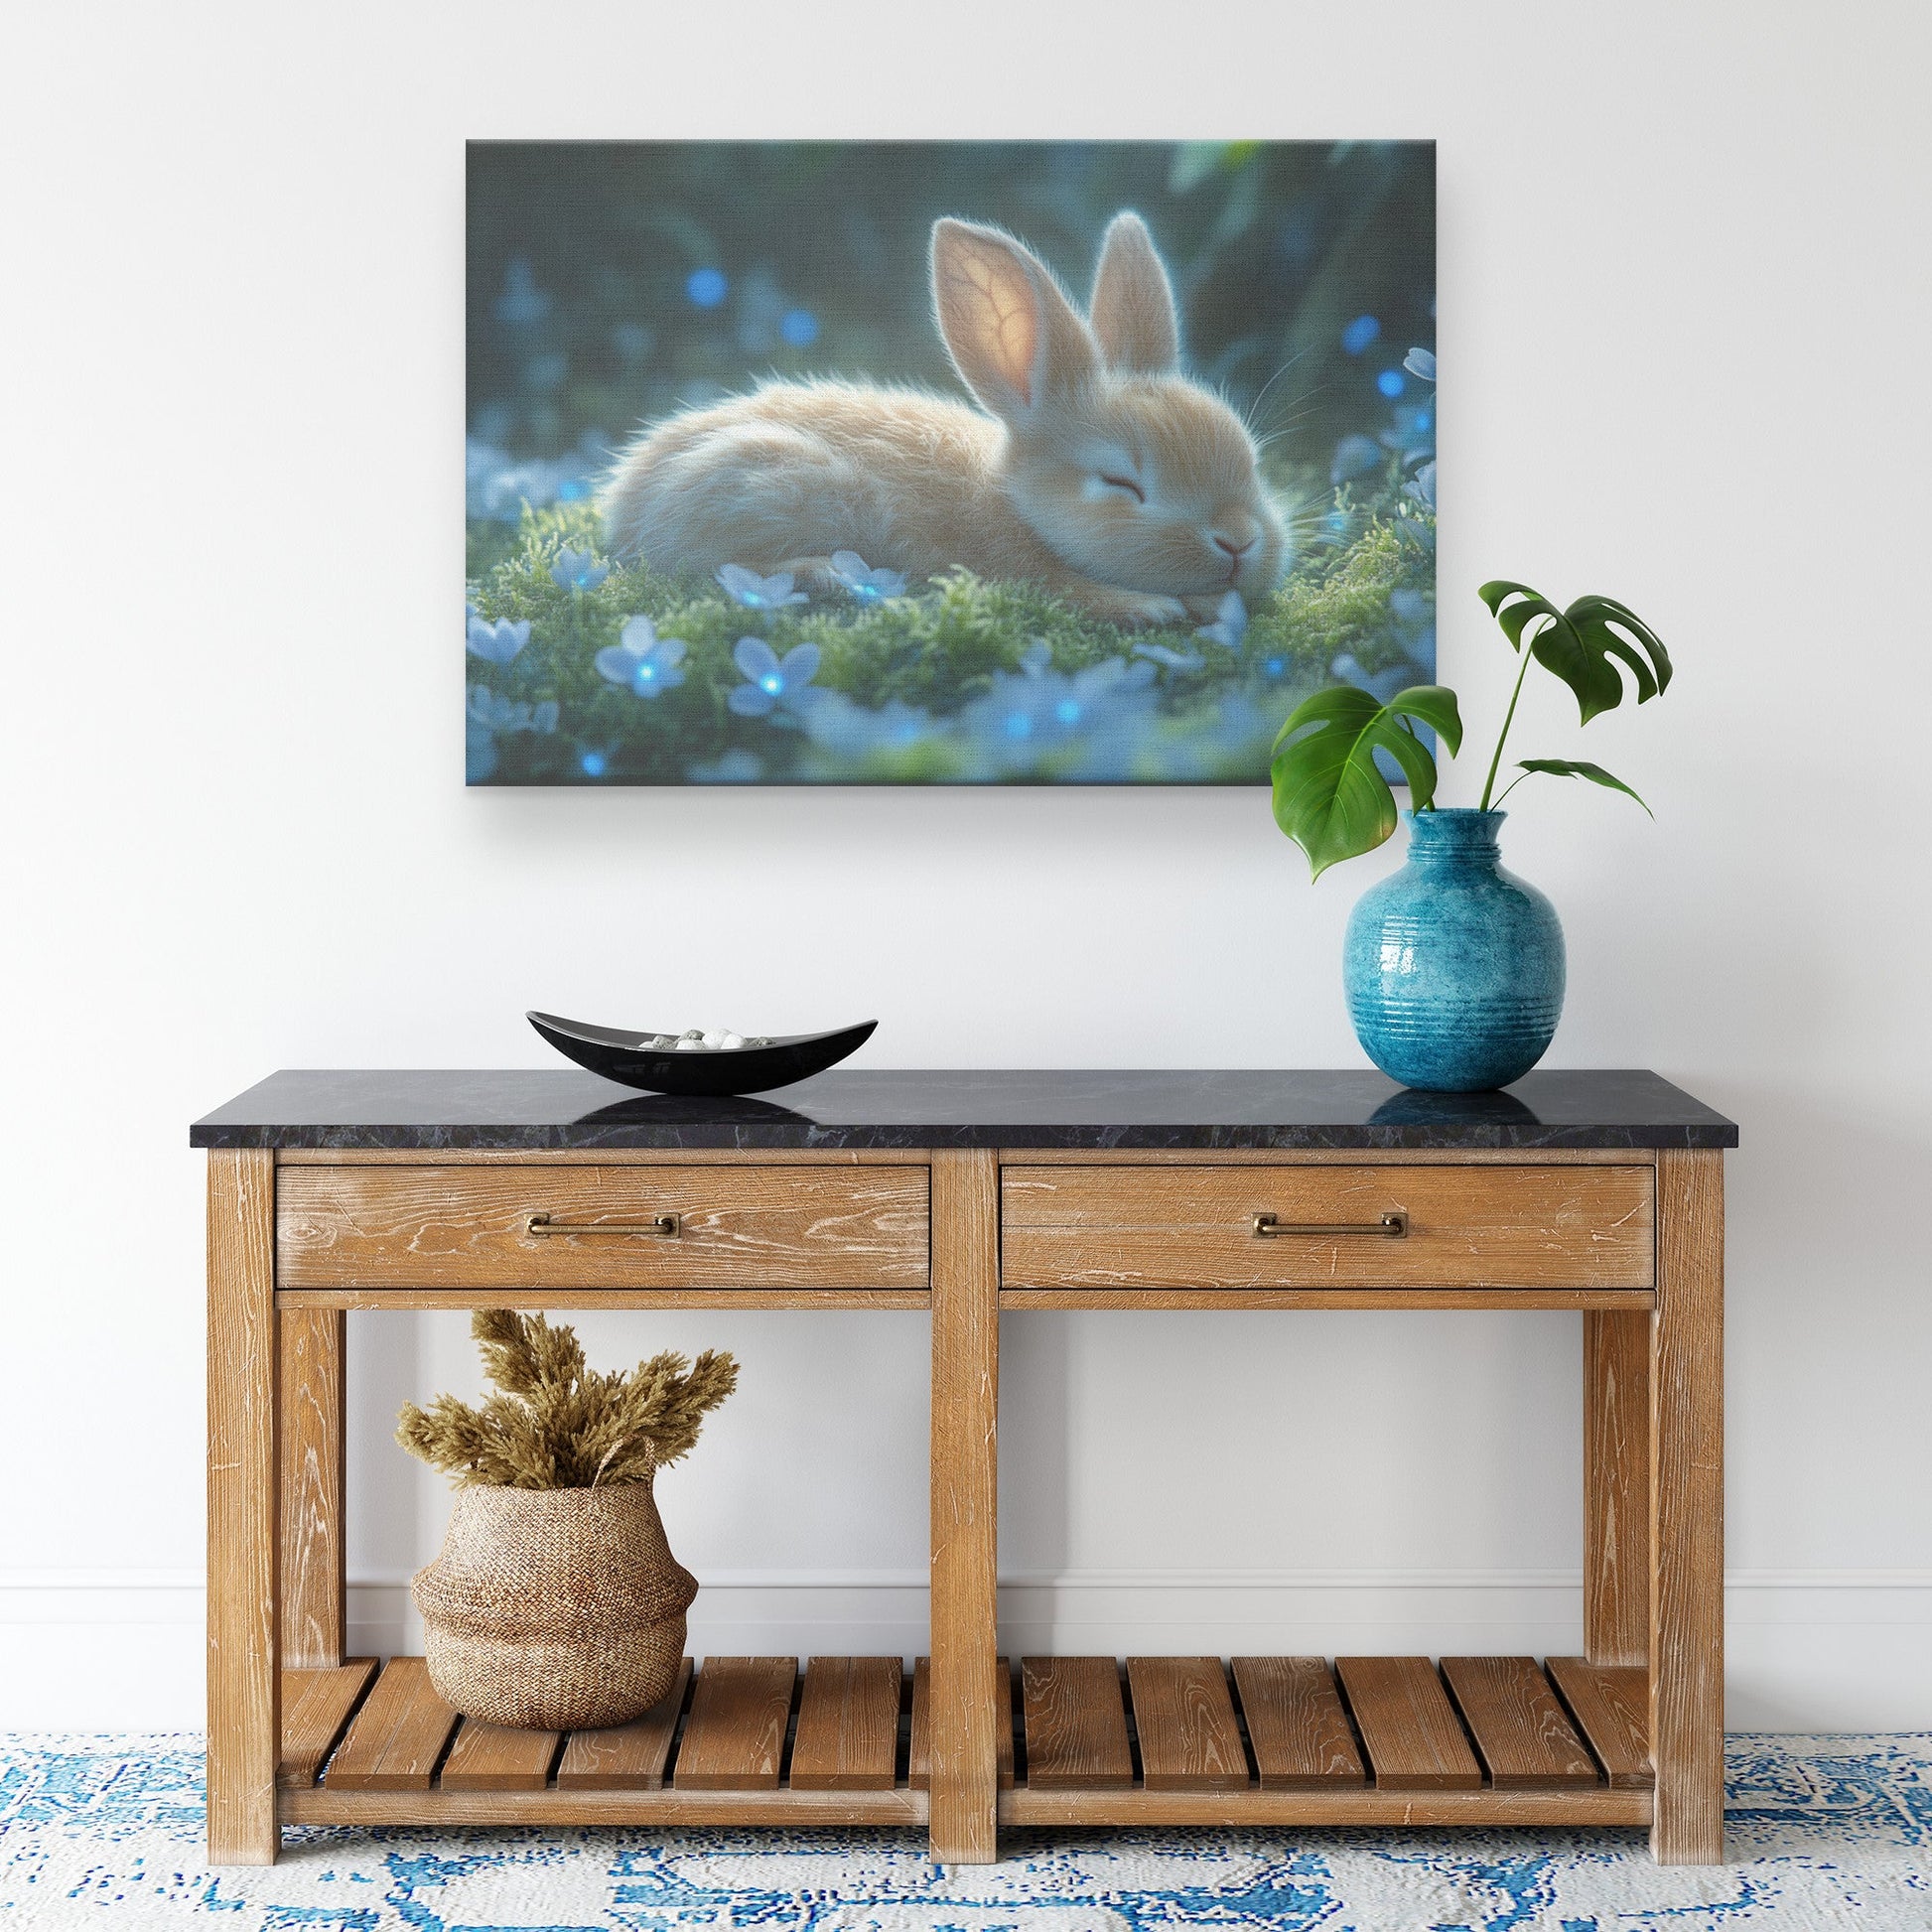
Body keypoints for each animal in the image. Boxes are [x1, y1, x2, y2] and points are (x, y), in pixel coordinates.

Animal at [599, 211, 1287, 627]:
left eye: (1252, 461)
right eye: (1119, 483)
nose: (1240, 540)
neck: (1013, 502)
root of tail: (626, 510)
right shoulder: (1016, 568)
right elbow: (1076, 590)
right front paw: (1153, 608)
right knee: (706, 569)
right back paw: (825, 574)